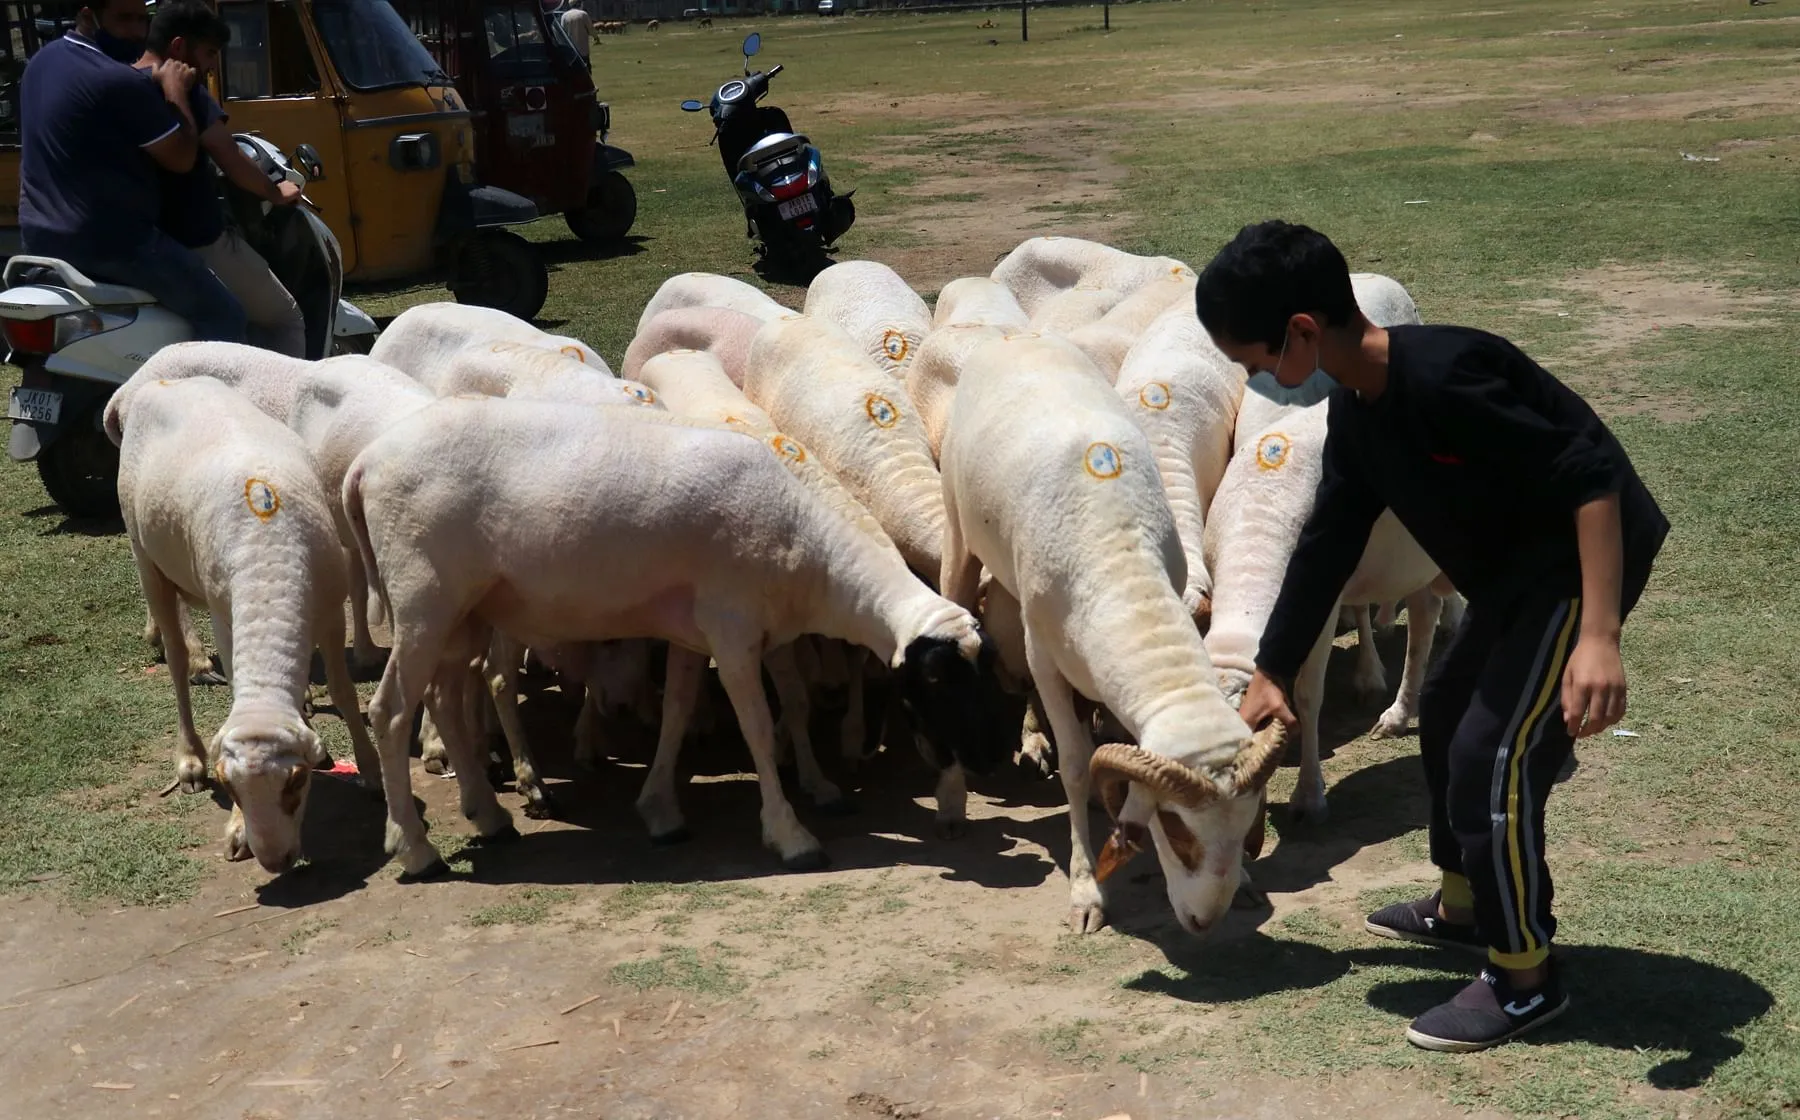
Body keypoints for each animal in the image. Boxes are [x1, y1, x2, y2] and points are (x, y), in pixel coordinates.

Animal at [110, 376, 381, 873]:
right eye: (232, 788)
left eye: (296, 783)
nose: (274, 861)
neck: (268, 559)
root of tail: (163, 382)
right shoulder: (226, 618)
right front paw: (237, 831)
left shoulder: (331, 611)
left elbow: (343, 690)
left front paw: (371, 771)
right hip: (144, 555)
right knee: (175, 660)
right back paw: (189, 759)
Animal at [343, 397, 1006, 876]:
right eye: (937, 679)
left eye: (988, 673)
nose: (993, 762)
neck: (809, 551)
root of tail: (366, 462)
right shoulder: (732, 631)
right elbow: (758, 728)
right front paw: (790, 835)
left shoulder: (694, 636)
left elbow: (679, 712)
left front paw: (661, 810)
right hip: (422, 596)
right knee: (392, 711)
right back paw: (415, 849)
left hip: (464, 613)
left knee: (446, 701)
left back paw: (488, 816)